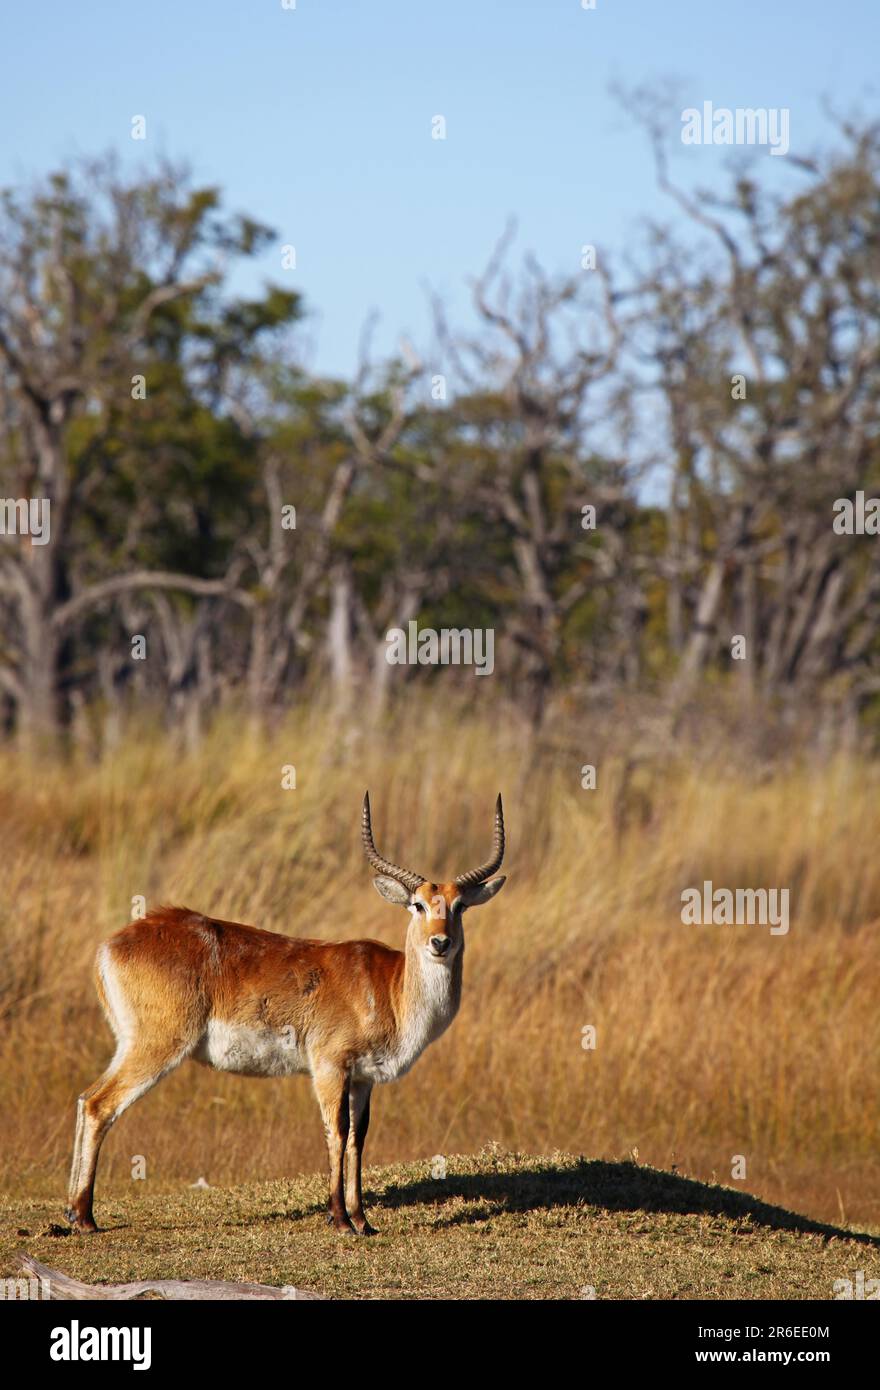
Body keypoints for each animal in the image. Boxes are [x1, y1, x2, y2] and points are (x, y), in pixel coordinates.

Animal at [66, 793, 506, 1236]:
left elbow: (358, 1138)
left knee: (85, 1099)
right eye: (417, 905)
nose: (440, 942)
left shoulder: (363, 1078)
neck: (391, 987)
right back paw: (85, 1217)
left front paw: (363, 1221)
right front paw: (340, 1220)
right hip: (157, 1046)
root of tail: (110, 946)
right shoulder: (329, 1066)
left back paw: (71, 1212)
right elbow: (336, 1131)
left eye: (460, 906)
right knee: (100, 1104)